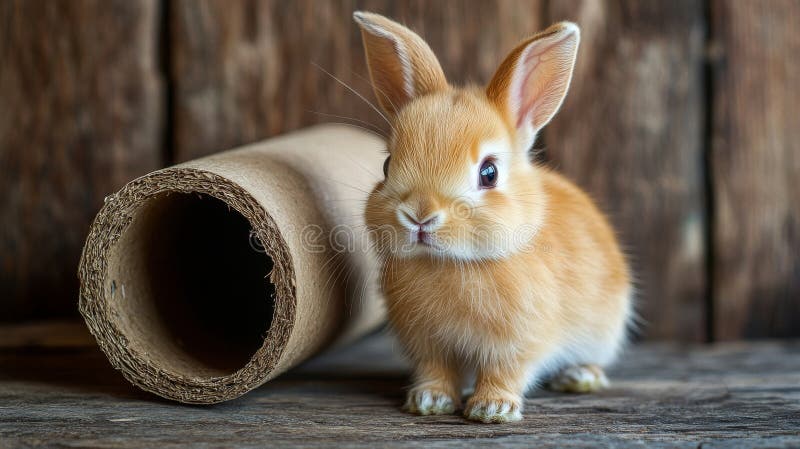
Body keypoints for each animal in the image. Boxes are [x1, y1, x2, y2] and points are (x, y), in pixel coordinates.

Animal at [354, 11, 633, 424]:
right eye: (388, 165)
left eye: (489, 173)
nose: (420, 216)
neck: (452, 264)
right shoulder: (428, 345)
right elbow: (436, 370)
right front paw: (428, 401)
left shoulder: (518, 342)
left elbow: (505, 372)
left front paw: (492, 409)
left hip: (602, 331)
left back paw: (580, 377)